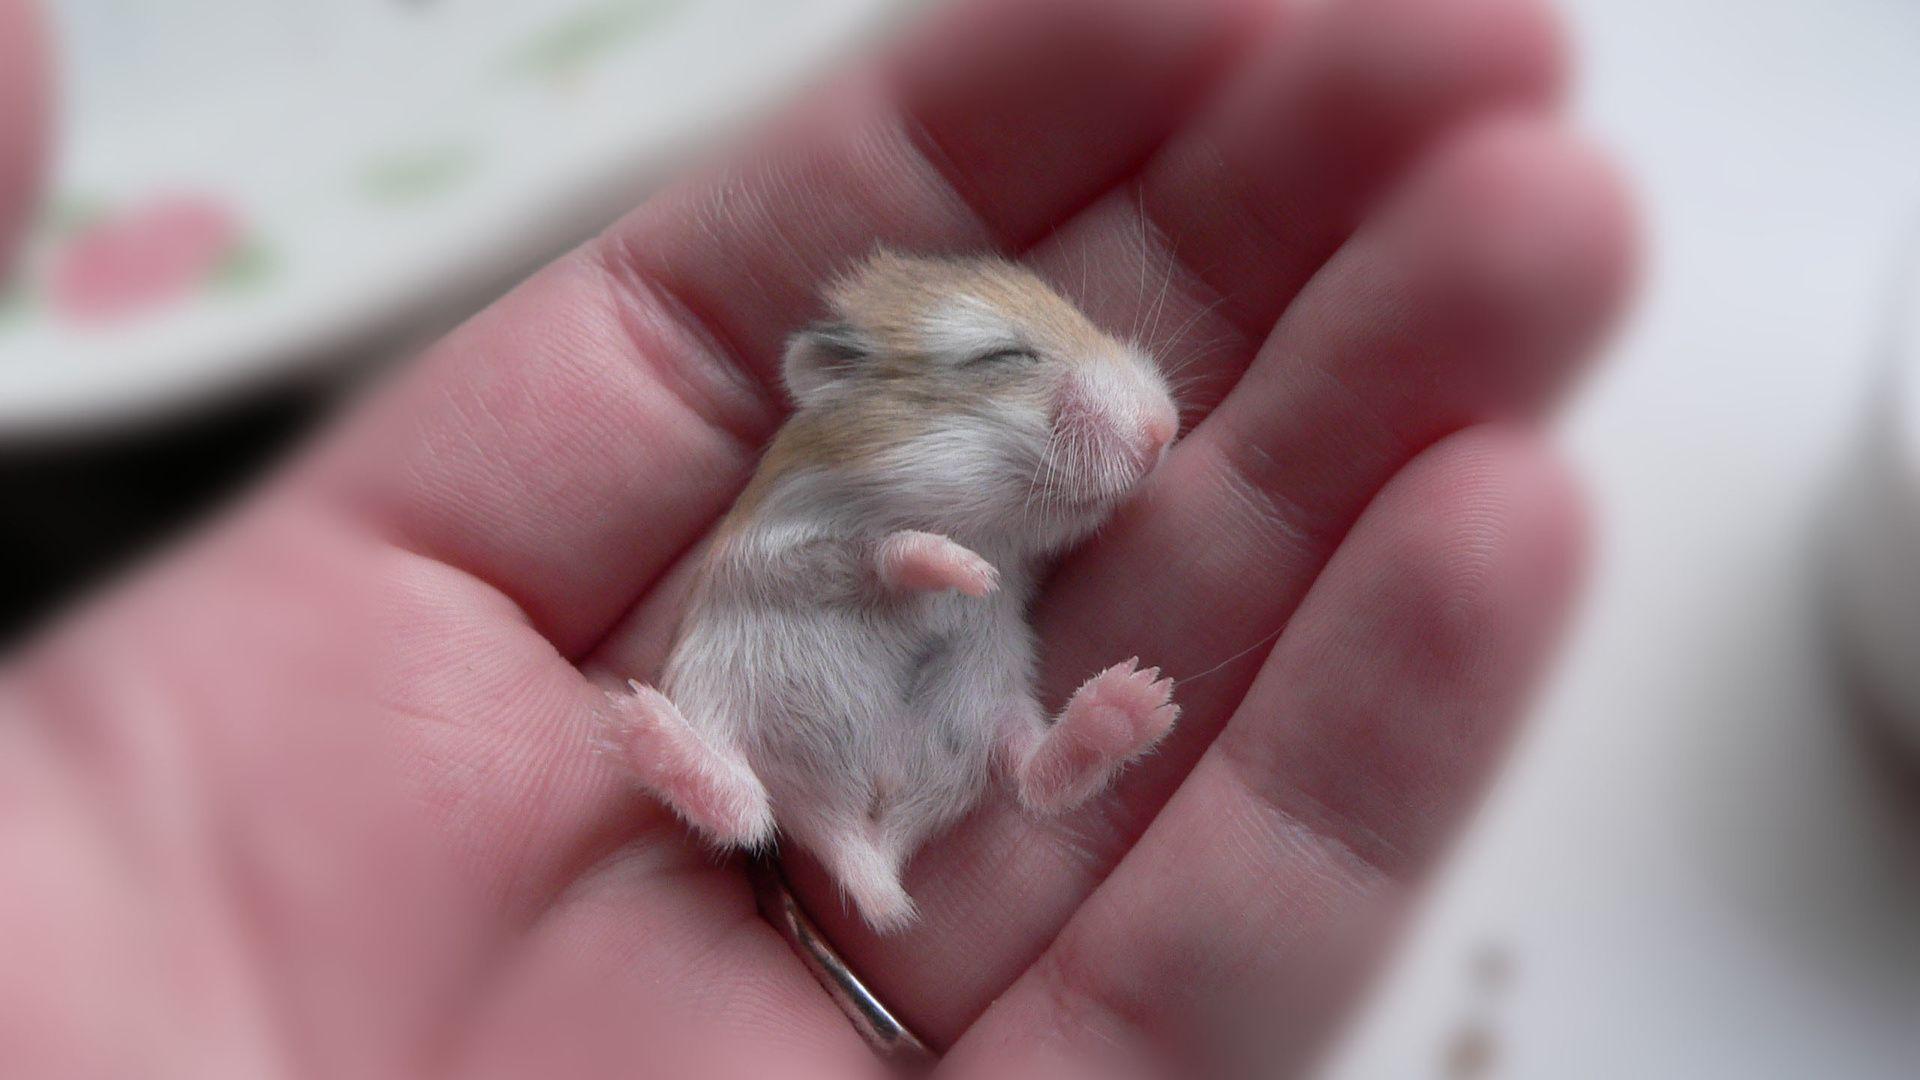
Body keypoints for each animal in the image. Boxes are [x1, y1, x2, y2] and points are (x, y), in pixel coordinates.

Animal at [604, 250, 1181, 933]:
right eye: (1003, 356)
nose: (1165, 429)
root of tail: (867, 841)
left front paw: (980, 580)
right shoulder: (786, 550)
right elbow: (887, 551)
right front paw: (972, 573)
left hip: (992, 701)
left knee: (1035, 776)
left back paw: (1137, 699)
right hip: (709, 689)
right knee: (742, 807)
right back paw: (634, 720)